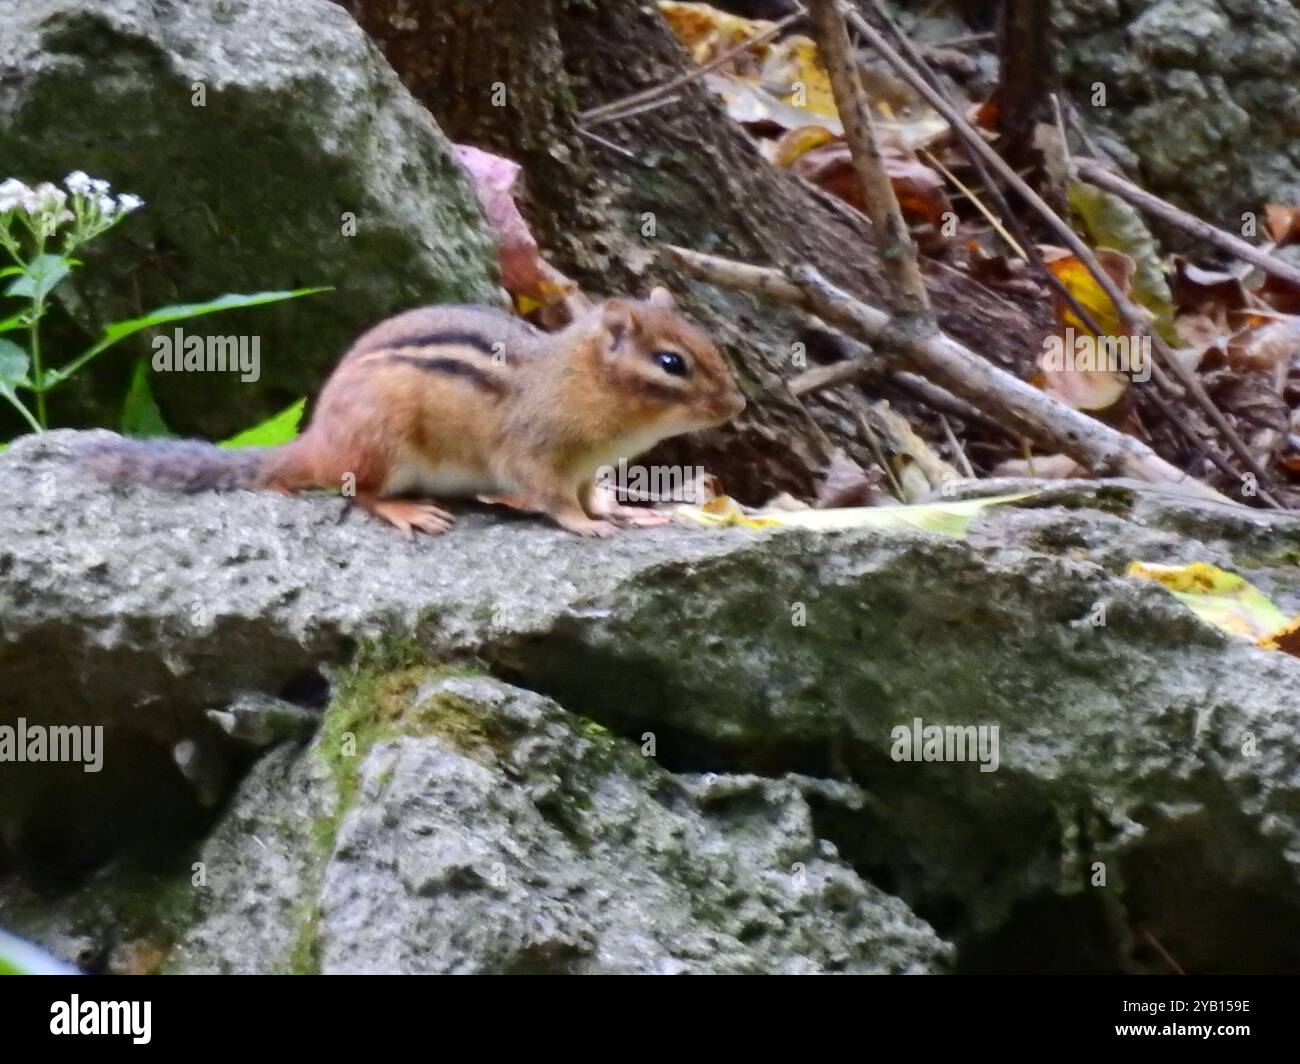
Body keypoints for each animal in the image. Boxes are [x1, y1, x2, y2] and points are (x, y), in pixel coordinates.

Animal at [75, 287, 746, 537]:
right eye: (671, 363)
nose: (737, 403)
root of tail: (314, 441)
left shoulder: (587, 467)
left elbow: (591, 494)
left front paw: (625, 512)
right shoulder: (536, 453)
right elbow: (553, 498)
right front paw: (585, 526)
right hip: (384, 442)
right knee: (360, 492)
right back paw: (409, 511)